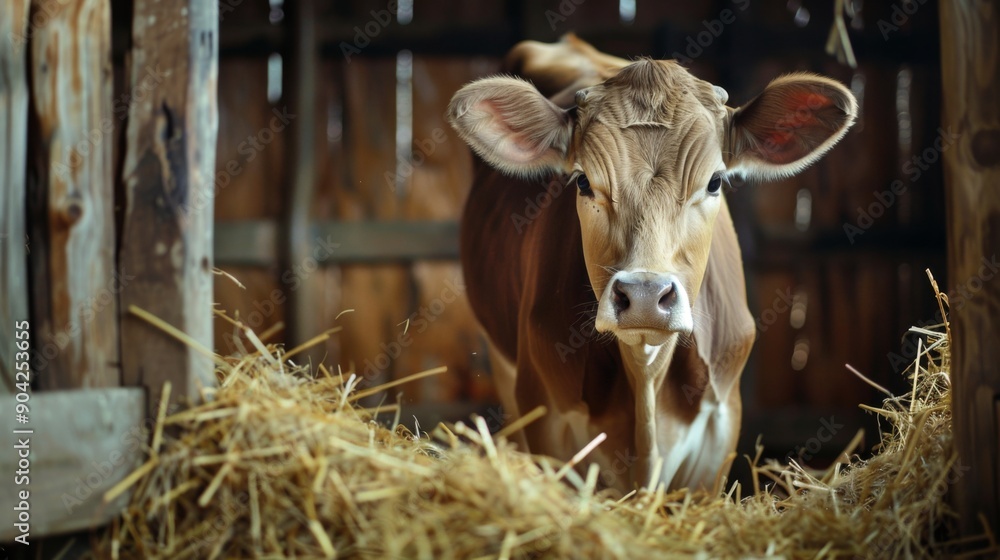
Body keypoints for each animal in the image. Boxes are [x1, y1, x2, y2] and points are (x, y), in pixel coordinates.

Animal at [447, 34, 857, 493]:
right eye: (583, 181)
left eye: (715, 181)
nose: (644, 295)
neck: (645, 381)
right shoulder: (545, 420)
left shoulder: (719, 429)